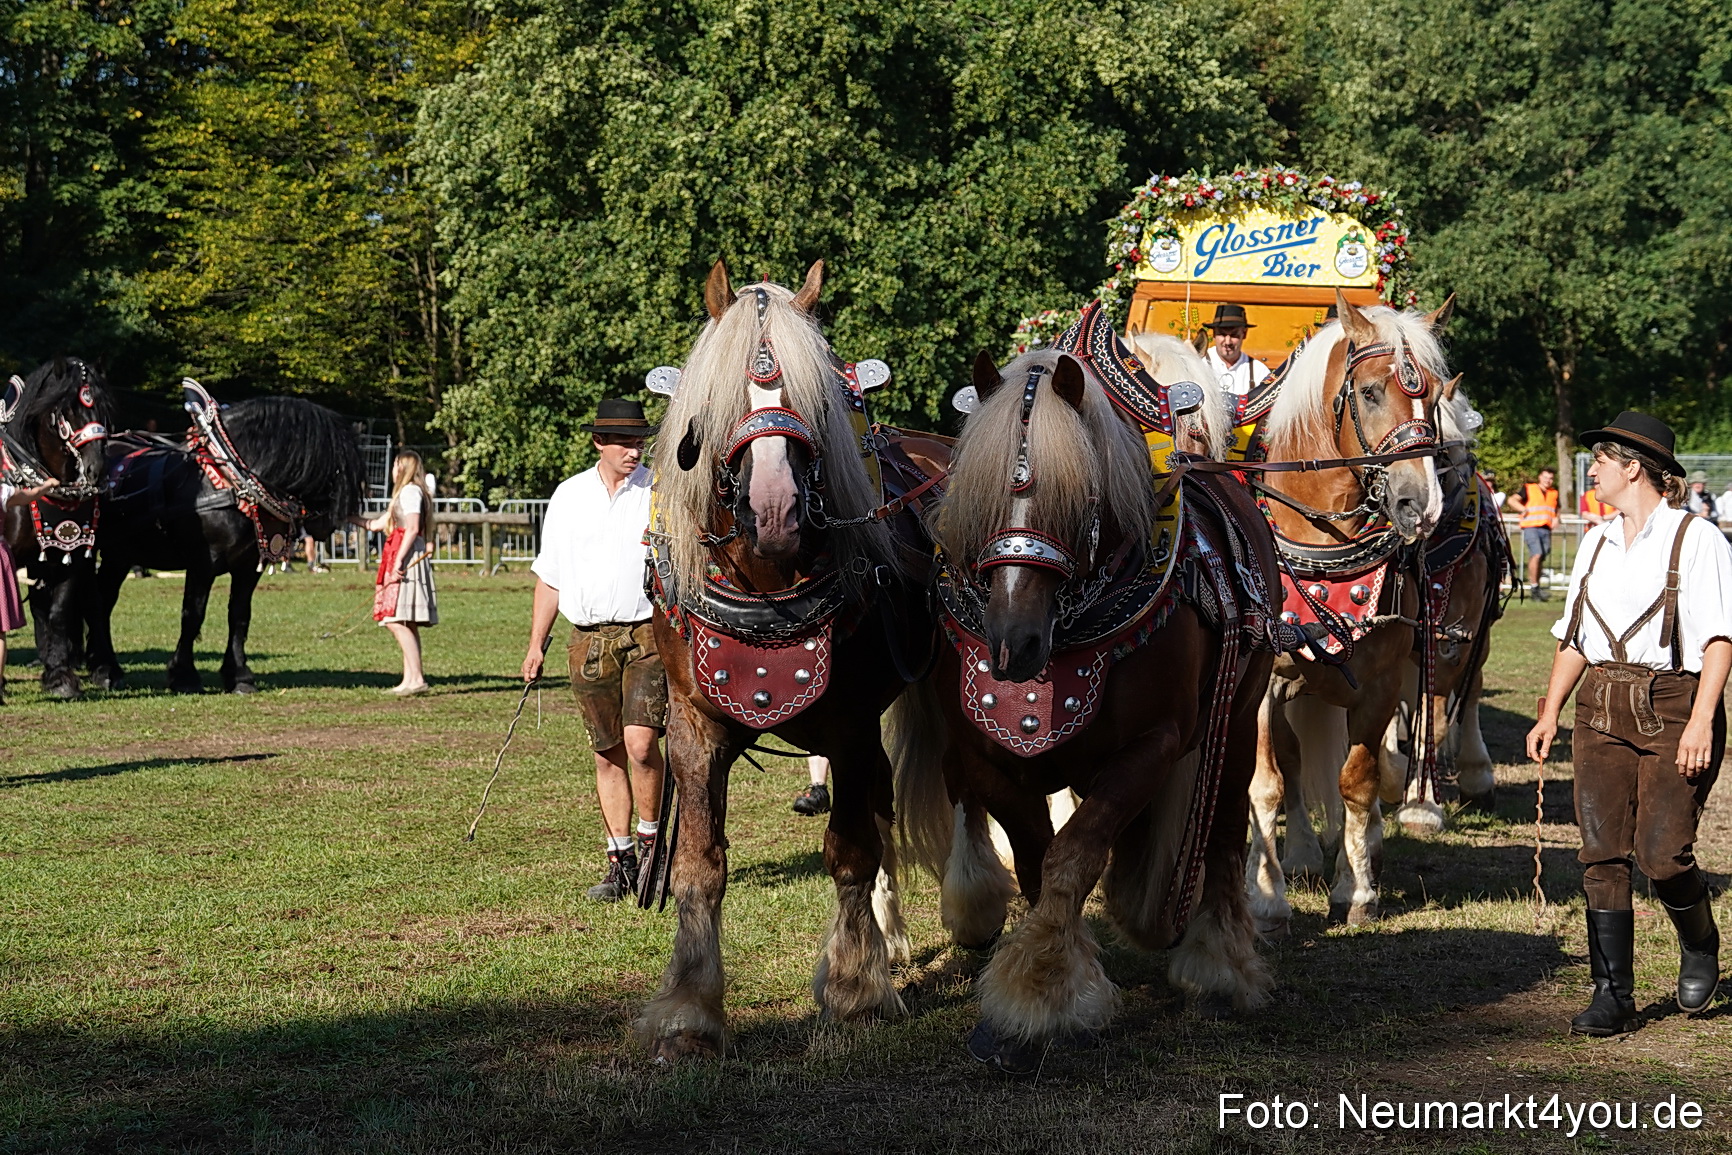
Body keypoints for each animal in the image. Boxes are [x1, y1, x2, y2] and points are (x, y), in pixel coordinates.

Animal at [0, 358, 113, 698]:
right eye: (67, 409)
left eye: (103, 407)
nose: (96, 468)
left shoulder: (69, 554)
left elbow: (58, 611)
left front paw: (60, 675)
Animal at [84, 385, 365, 693]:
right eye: (335, 469)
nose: (328, 526)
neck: (228, 480)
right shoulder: (201, 565)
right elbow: (193, 614)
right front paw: (184, 675)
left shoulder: (248, 567)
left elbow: (239, 615)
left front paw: (239, 675)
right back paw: (105, 669)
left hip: (119, 554)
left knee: (104, 599)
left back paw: (102, 665)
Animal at [636, 261, 949, 1062]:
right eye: (713, 406)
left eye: (814, 399)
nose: (774, 508)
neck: (767, 585)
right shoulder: (695, 726)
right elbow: (699, 864)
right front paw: (690, 1010)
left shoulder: (851, 725)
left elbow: (850, 850)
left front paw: (855, 989)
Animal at [892, 310, 1288, 1072]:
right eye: (978, 496)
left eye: (1077, 499)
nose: (1012, 644)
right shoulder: (990, 760)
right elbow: (1037, 861)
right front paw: (1039, 979)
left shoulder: (1153, 746)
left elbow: (1074, 855)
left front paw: (1039, 995)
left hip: (1237, 717)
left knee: (1226, 829)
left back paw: (1221, 966)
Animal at [1242, 292, 1457, 934]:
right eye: (1369, 392)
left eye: (1435, 397)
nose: (1420, 504)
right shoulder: (1261, 685)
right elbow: (1265, 784)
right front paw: (1265, 894)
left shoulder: (1380, 682)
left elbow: (1357, 781)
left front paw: (1356, 889)